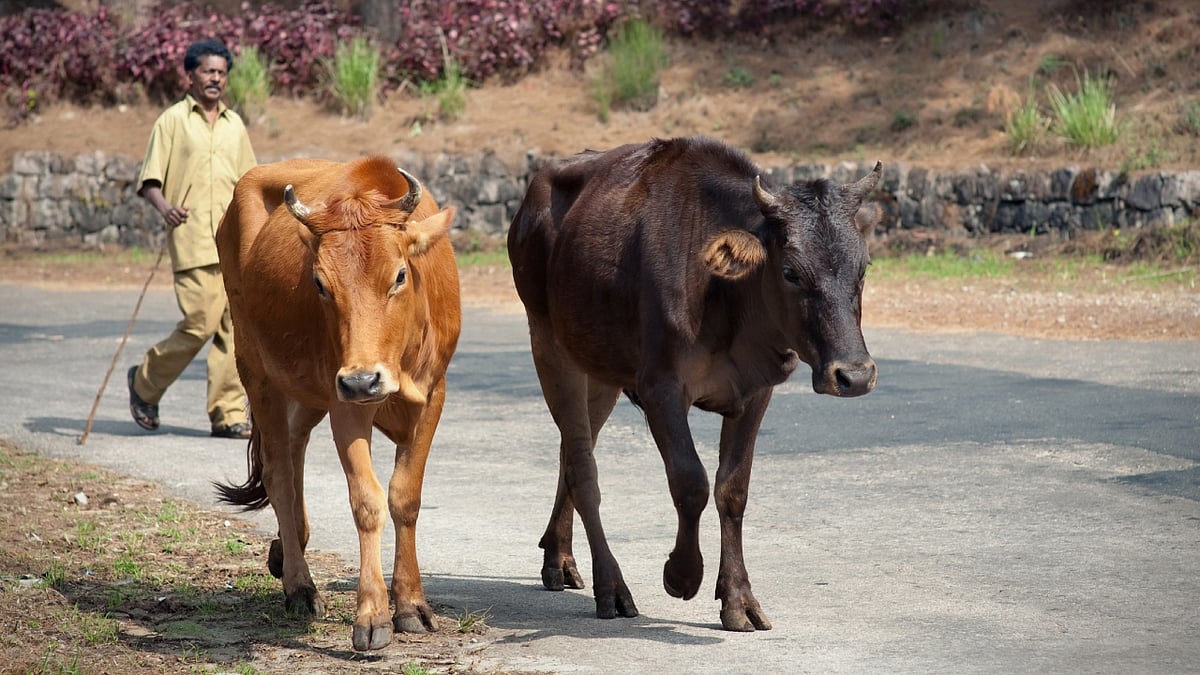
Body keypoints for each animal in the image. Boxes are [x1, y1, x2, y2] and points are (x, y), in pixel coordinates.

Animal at [213, 155, 460, 651]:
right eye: (320, 284)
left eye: (399, 275)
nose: (364, 379)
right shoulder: (346, 403)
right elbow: (367, 501)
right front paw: (372, 616)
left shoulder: (433, 395)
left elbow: (405, 497)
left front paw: (411, 605)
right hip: (258, 369)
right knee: (278, 472)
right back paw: (299, 586)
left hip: (309, 392)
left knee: (293, 448)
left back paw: (287, 547)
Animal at [507, 136, 881, 632]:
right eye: (790, 272)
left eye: (863, 268)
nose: (854, 375)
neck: (725, 296)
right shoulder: (660, 387)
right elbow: (691, 482)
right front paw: (682, 575)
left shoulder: (755, 392)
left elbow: (732, 489)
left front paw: (739, 598)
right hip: (548, 344)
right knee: (584, 468)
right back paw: (612, 586)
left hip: (600, 370)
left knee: (571, 452)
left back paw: (559, 558)